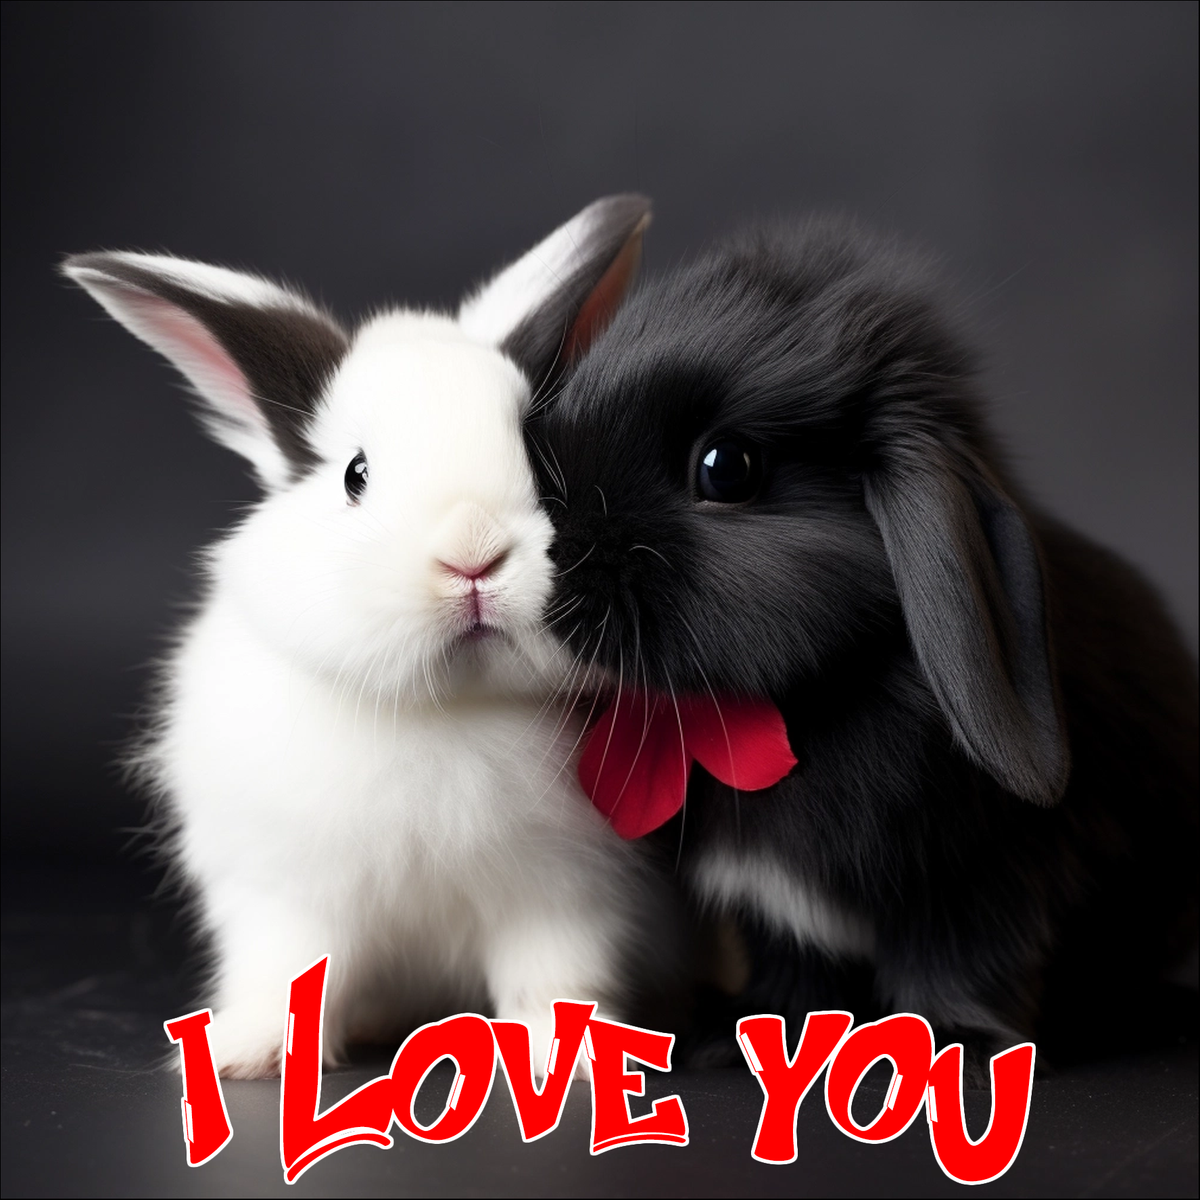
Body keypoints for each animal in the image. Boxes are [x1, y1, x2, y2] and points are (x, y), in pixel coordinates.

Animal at [61, 194, 672, 1080]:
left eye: (543, 470)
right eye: (356, 475)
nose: (472, 555)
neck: (446, 710)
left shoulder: (566, 896)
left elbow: (554, 978)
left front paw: (571, 1056)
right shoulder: (288, 892)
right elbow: (292, 972)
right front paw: (250, 1054)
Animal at [523, 216, 1199, 1083]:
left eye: (727, 468)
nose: (550, 555)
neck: (811, 699)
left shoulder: (984, 881)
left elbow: (962, 963)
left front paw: (954, 1045)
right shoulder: (775, 913)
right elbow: (796, 970)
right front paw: (746, 1035)